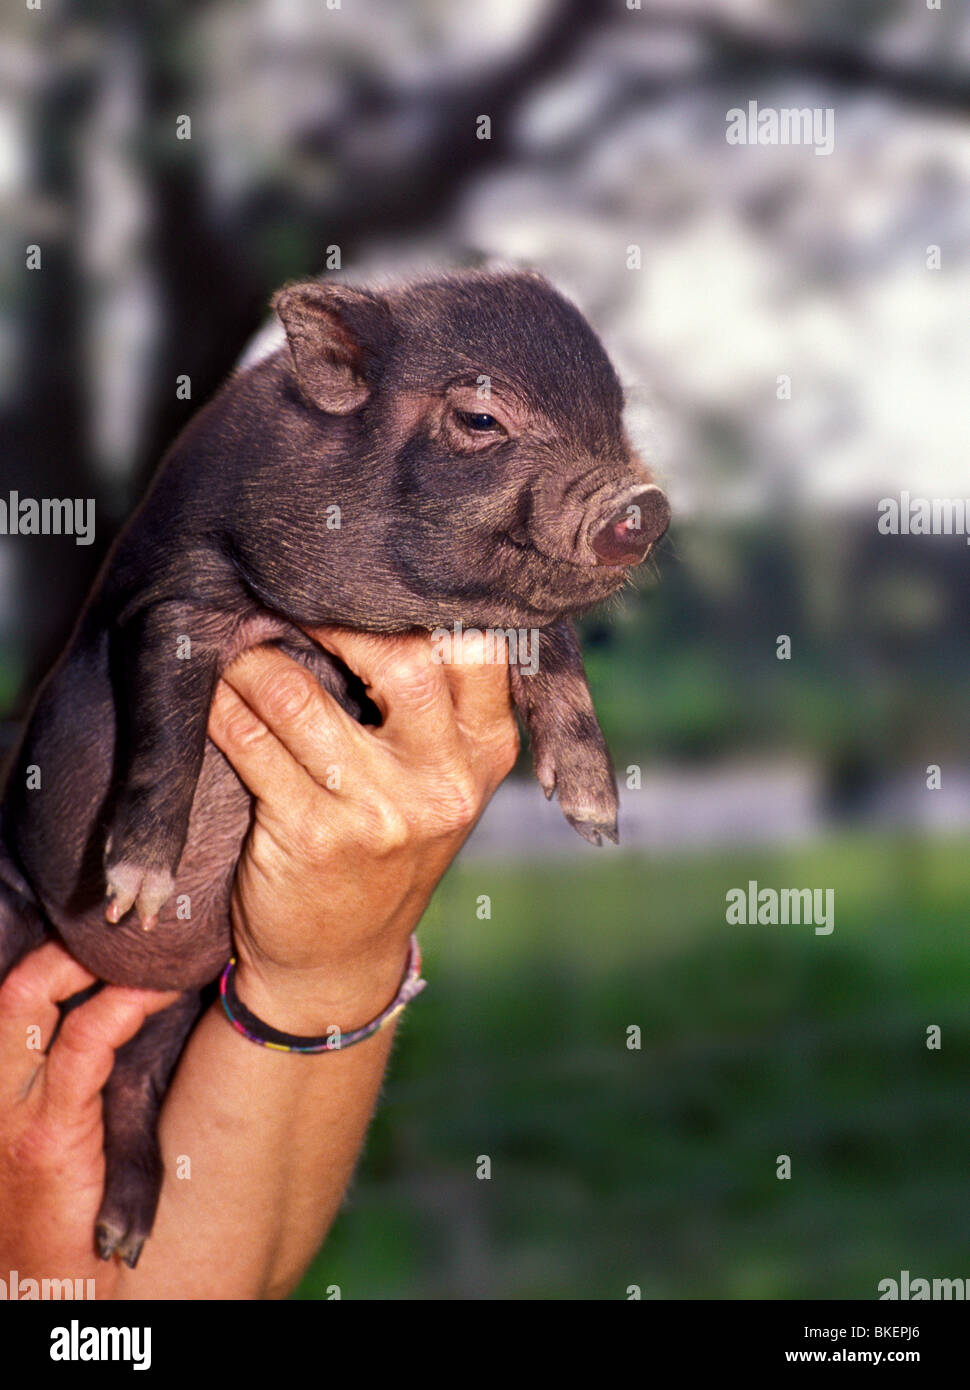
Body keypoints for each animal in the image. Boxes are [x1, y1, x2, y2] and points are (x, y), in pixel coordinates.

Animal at [0, 268, 670, 1267]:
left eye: (615, 410)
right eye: (480, 418)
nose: (646, 504)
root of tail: (109, 967)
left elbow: (556, 644)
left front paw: (594, 820)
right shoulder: (180, 596)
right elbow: (166, 727)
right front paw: (138, 889)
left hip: (183, 1004)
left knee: (133, 1081)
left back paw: (124, 1241)